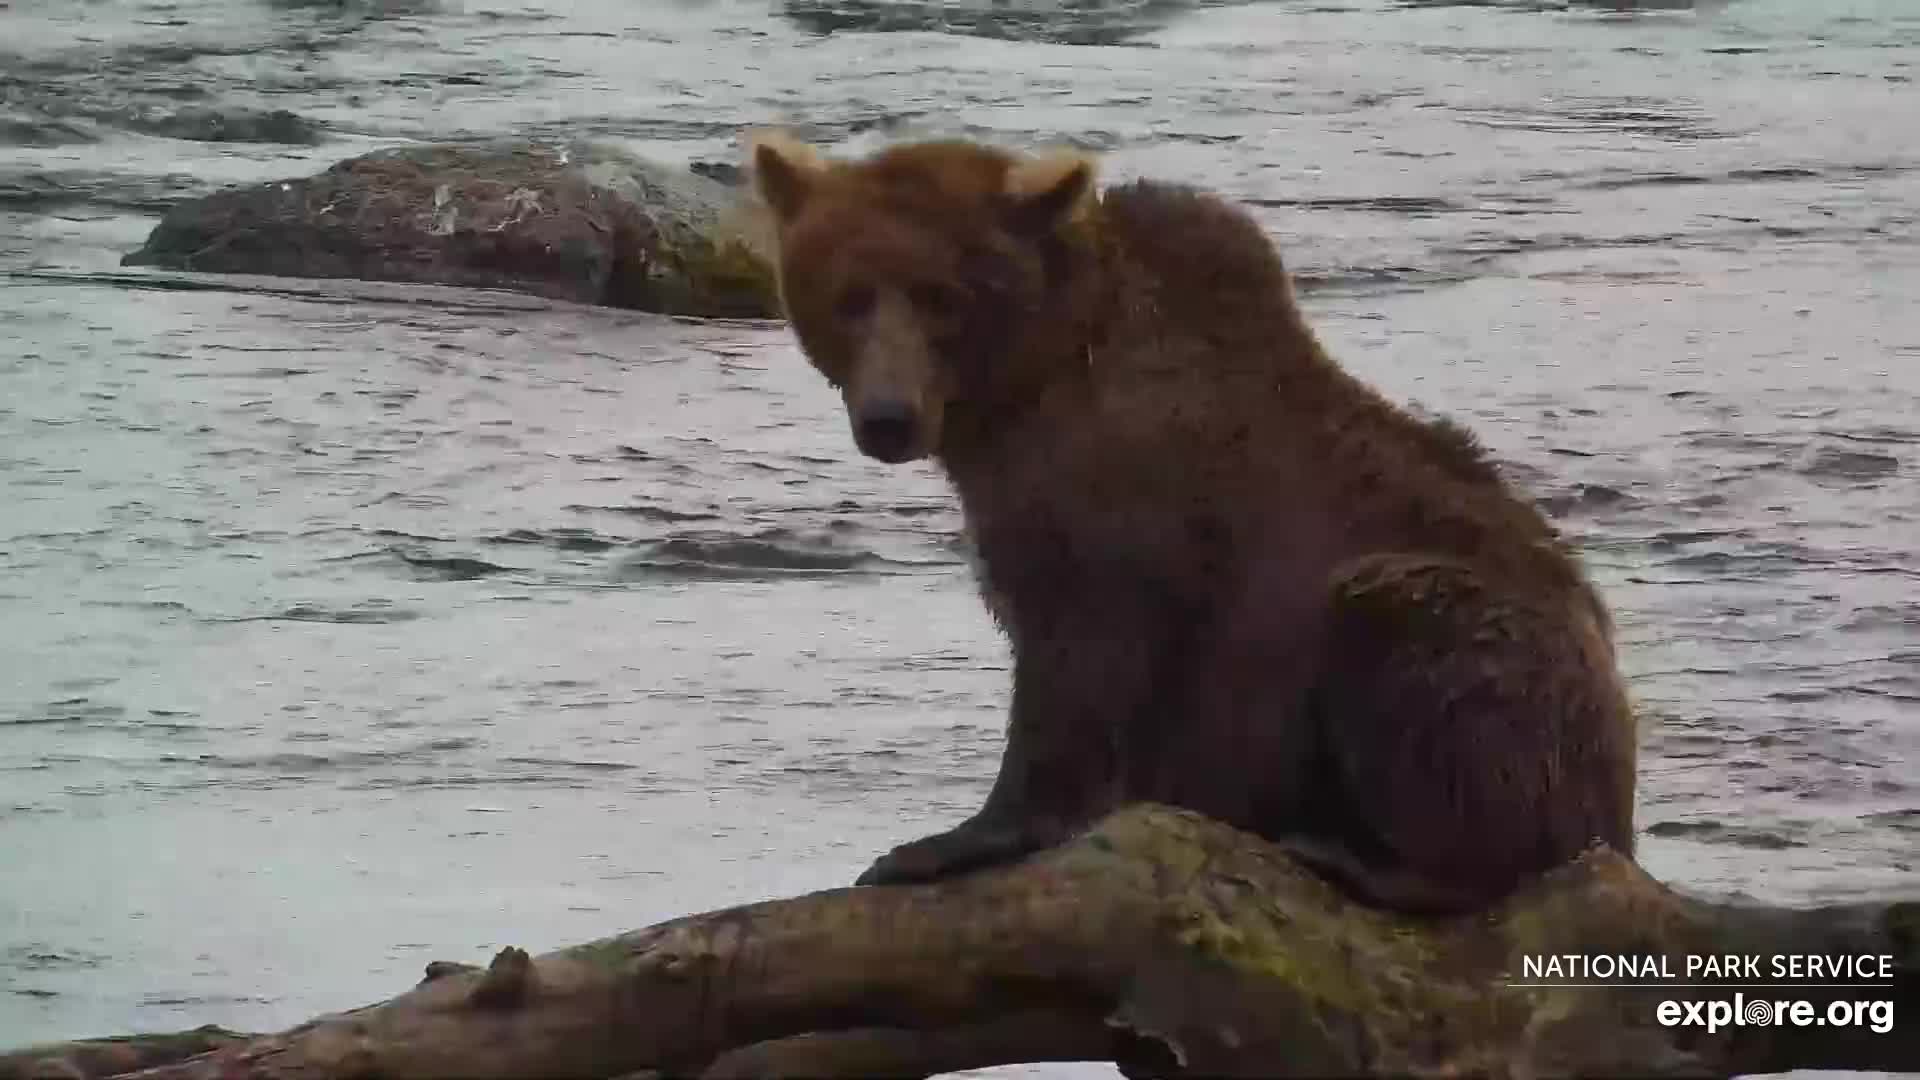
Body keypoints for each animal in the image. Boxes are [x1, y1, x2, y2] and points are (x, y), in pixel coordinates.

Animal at [746, 131, 1638, 915]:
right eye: (849, 296)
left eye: (941, 298)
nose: (887, 418)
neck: (1025, 392)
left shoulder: (1127, 510)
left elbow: (1075, 668)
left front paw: (939, 844)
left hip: (1497, 663)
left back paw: (1361, 857)